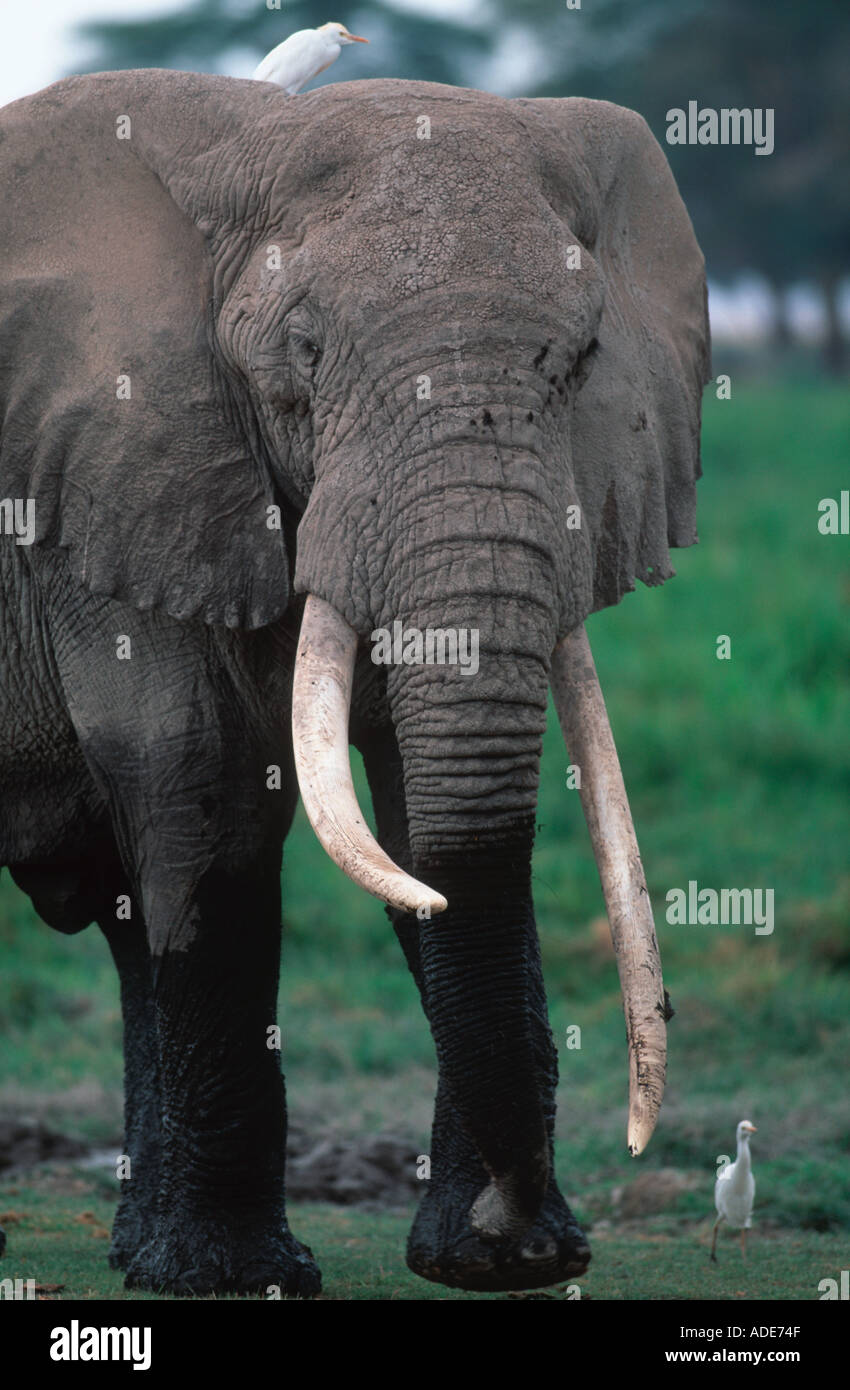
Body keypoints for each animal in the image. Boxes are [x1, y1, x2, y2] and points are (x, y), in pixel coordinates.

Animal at [0, 70, 710, 1295]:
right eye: (305, 351)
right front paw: (244, 1280)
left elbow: (420, 823)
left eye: (578, 365)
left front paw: (502, 1257)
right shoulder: (96, 485)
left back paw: (142, 1254)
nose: (520, 1216)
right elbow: (201, 786)